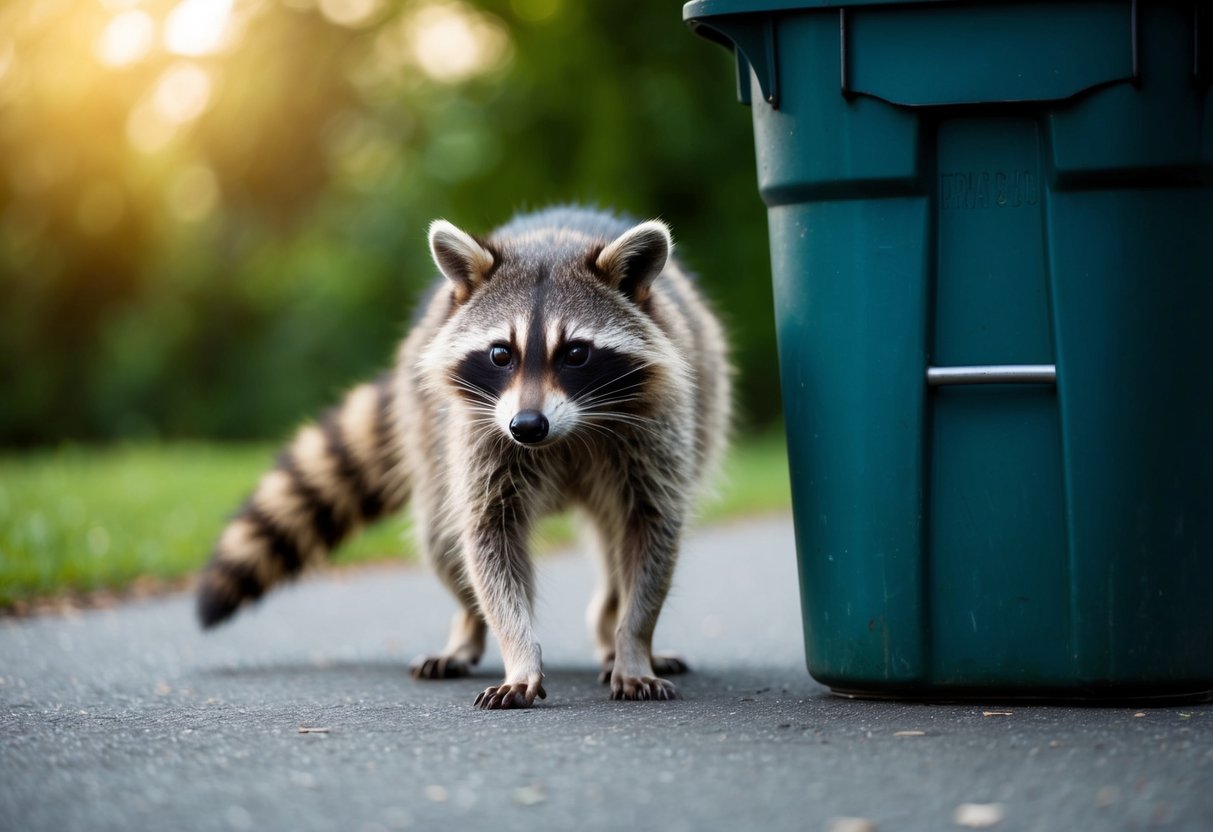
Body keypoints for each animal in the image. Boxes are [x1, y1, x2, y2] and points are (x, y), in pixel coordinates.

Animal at [196, 206, 731, 708]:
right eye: (500, 354)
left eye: (576, 353)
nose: (527, 426)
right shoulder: (481, 430)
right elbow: (488, 539)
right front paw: (518, 651)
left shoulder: (656, 427)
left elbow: (650, 531)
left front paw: (633, 643)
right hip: (429, 437)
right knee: (442, 539)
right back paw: (468, 628)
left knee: (613, 550)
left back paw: (607, 630)